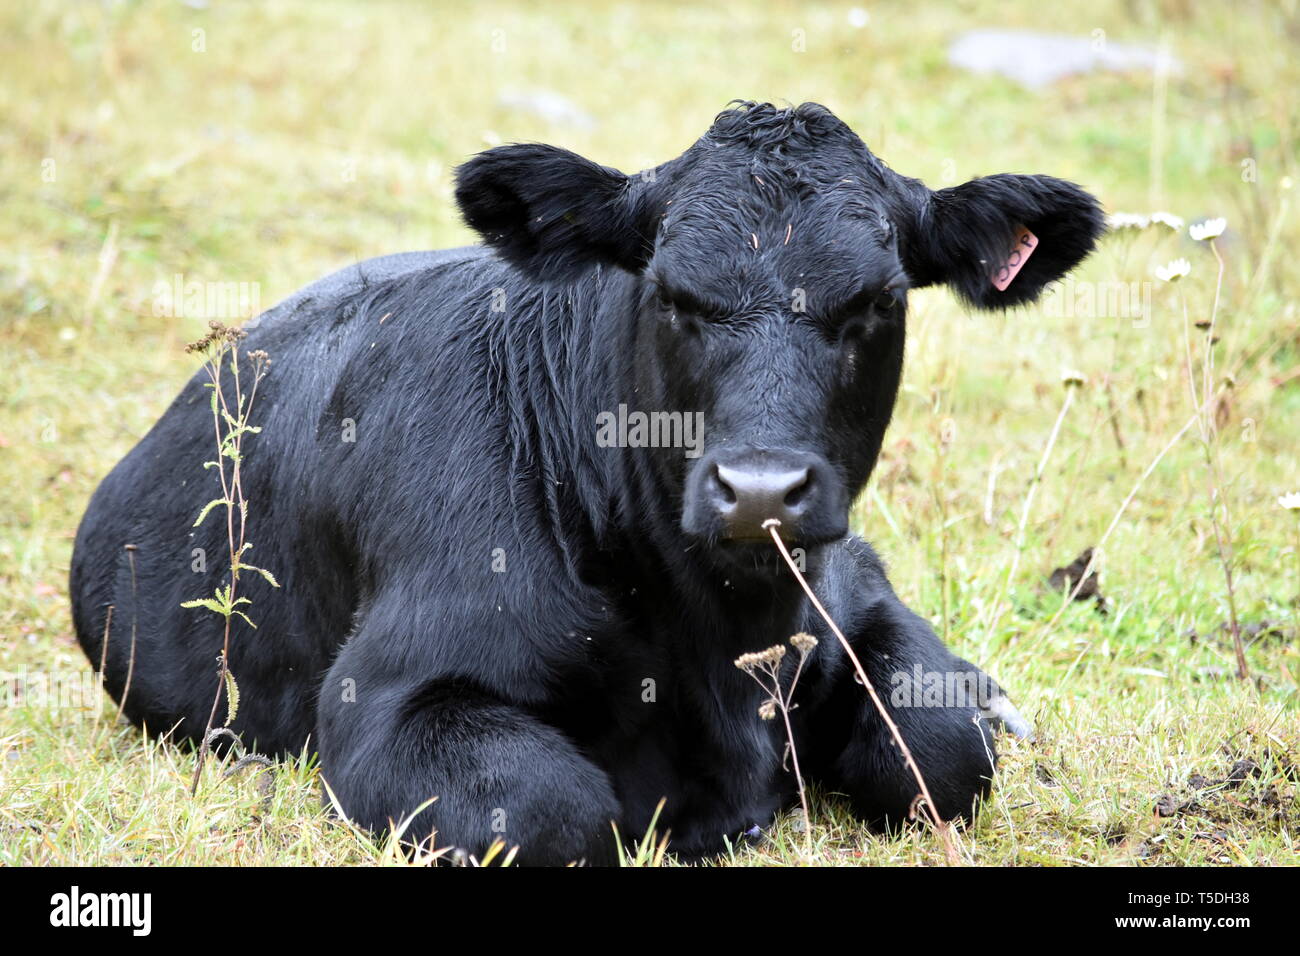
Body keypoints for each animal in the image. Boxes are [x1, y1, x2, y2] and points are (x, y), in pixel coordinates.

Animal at [71, 101, 1103, 865]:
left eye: (879, 300)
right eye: (671, 292)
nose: (760, 491)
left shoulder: (845, 592)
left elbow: (941, 749)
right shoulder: (385, 699)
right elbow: (555, 810)